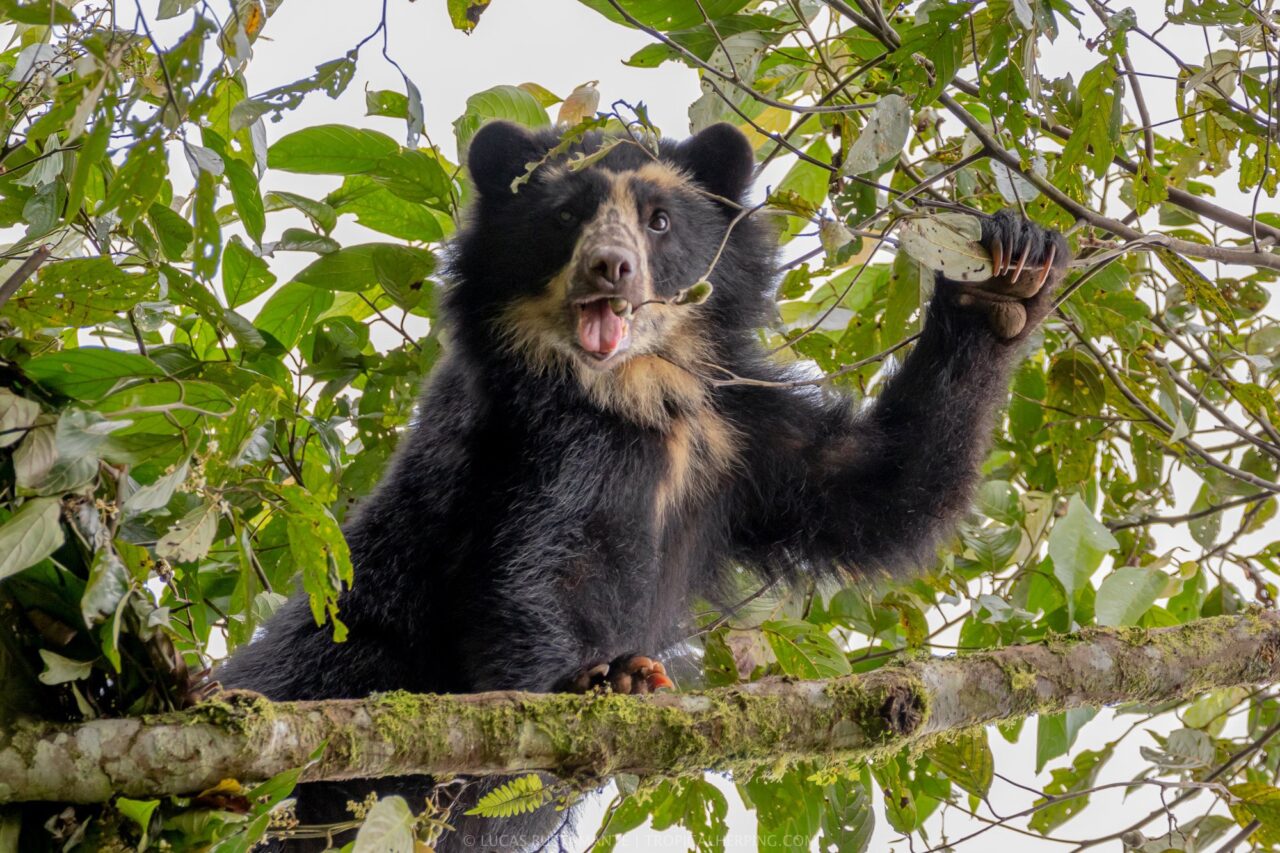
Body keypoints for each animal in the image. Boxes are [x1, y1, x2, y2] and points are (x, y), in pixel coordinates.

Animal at [217, 120, 1069, 851]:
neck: (637, 390)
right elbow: (540, 565)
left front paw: (1005, 281)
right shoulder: (545, 440)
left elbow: (879, 484)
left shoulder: (740, 432)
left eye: (658, 220)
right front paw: (602, 678)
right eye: (565, 216)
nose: (610, 267)